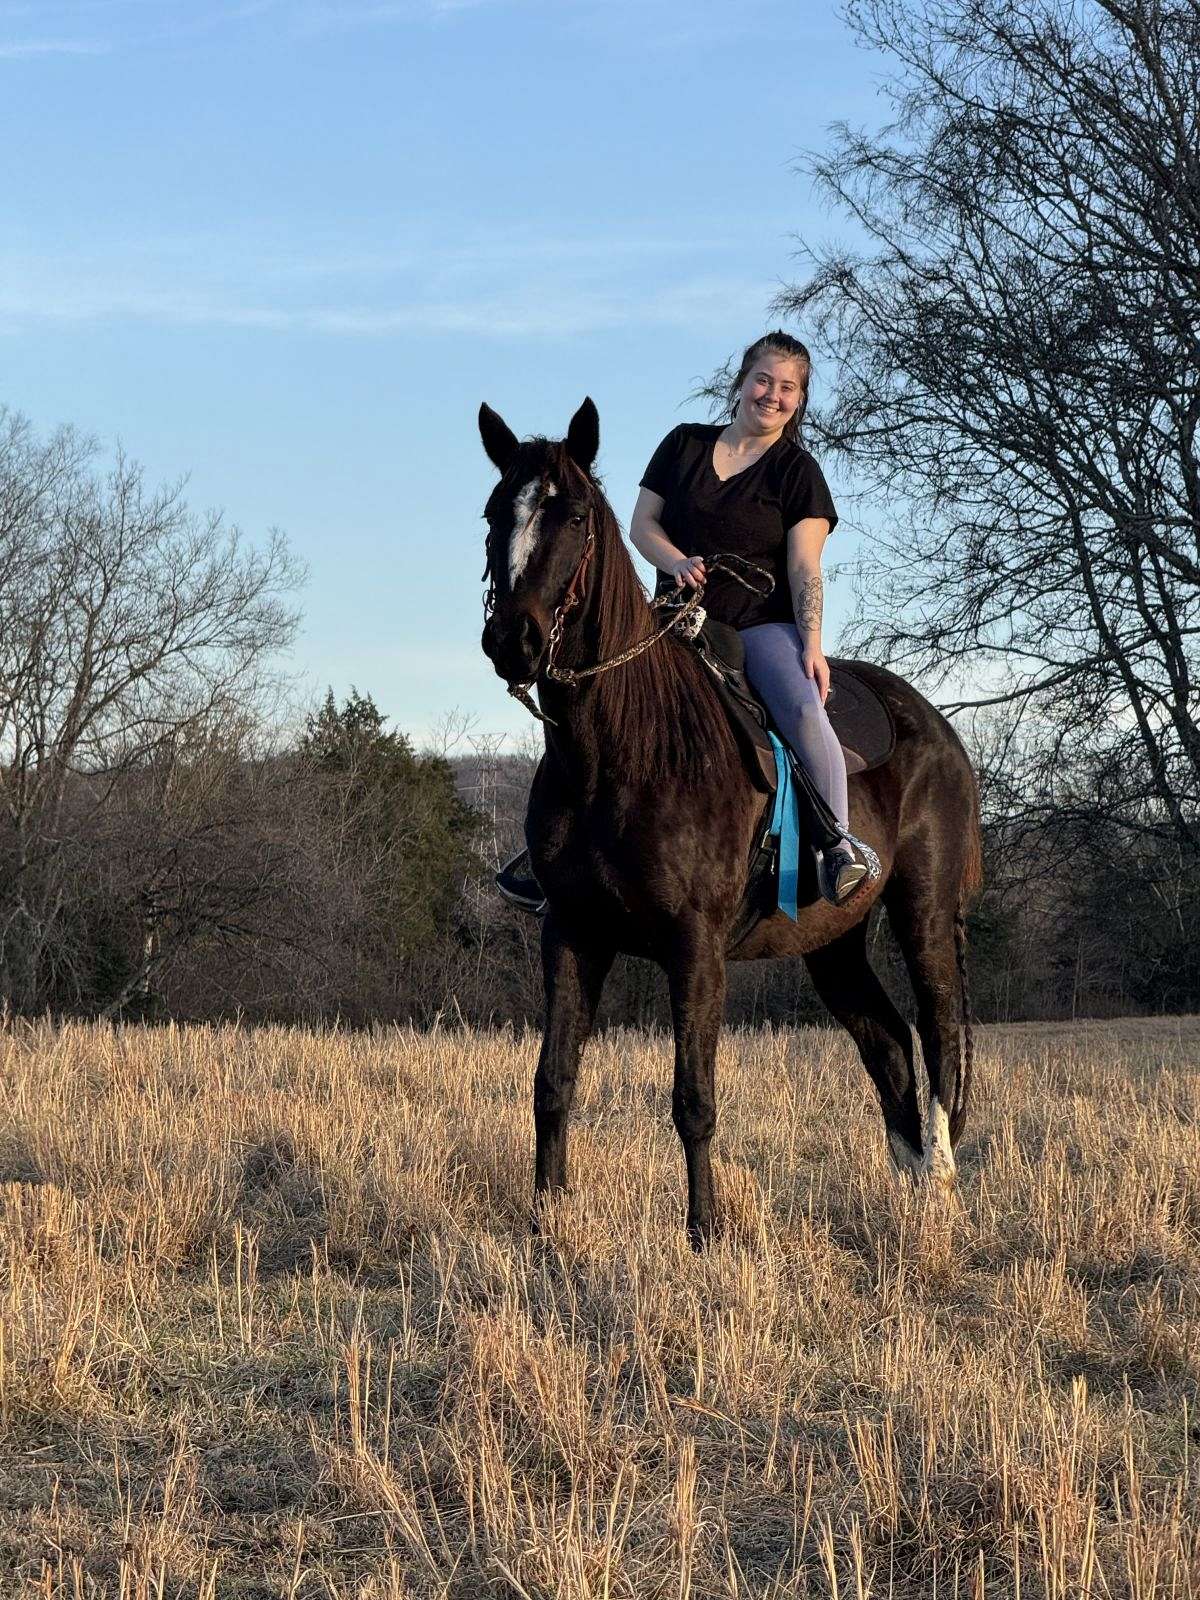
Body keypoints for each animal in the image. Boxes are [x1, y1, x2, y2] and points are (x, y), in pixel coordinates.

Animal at [479, 396, 982, 1246]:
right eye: (493, 513)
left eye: (574, 515)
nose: (510, 640)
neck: (621, 750)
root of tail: (938, 727)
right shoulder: (572, 934)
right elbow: (553, 1081)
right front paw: (546, 1224)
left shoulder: (695, 945)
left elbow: (693, 1099)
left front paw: (705, 1233)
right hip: (832, 943)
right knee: (885, 1044)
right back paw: (909, 1196)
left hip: (924, 914)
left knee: (939, 1035)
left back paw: (942, 1190)